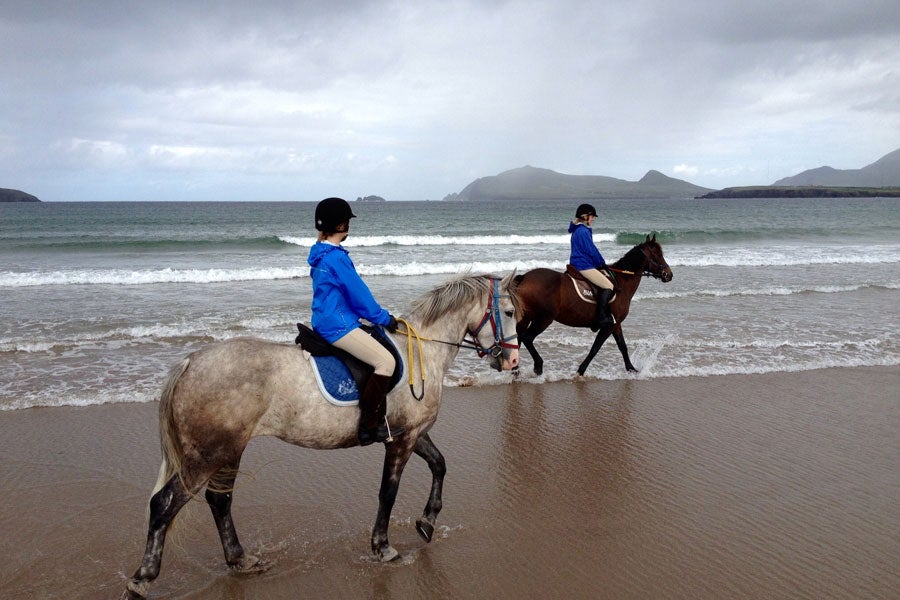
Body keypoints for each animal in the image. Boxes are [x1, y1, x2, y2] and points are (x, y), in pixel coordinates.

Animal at [123, 273, 520, 600]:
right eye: (510, 312)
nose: (513, 363)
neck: (422, 352)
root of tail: (190, 362)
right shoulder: (402, 440)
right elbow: (388, 493)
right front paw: (383, 547)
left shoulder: (412, 433)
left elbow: (440, 465)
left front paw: (427, 522)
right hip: (207, 455)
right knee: (164, 505)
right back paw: (142, 580)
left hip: (229, 450)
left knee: (219, 502)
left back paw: (241, 560)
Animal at [513, 234, 672, 377]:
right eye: (658, 254)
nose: (669, 275)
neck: (622, 281)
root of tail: (524, 277)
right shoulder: (609, 325)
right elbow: (595, 348)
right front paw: (581, 370)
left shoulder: (616, 324)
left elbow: (622, 346)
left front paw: (631, 369)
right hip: (544, 319)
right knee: (527, 338)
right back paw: (537, 365)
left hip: (526, 318)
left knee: (518, 339)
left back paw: (515, 371)